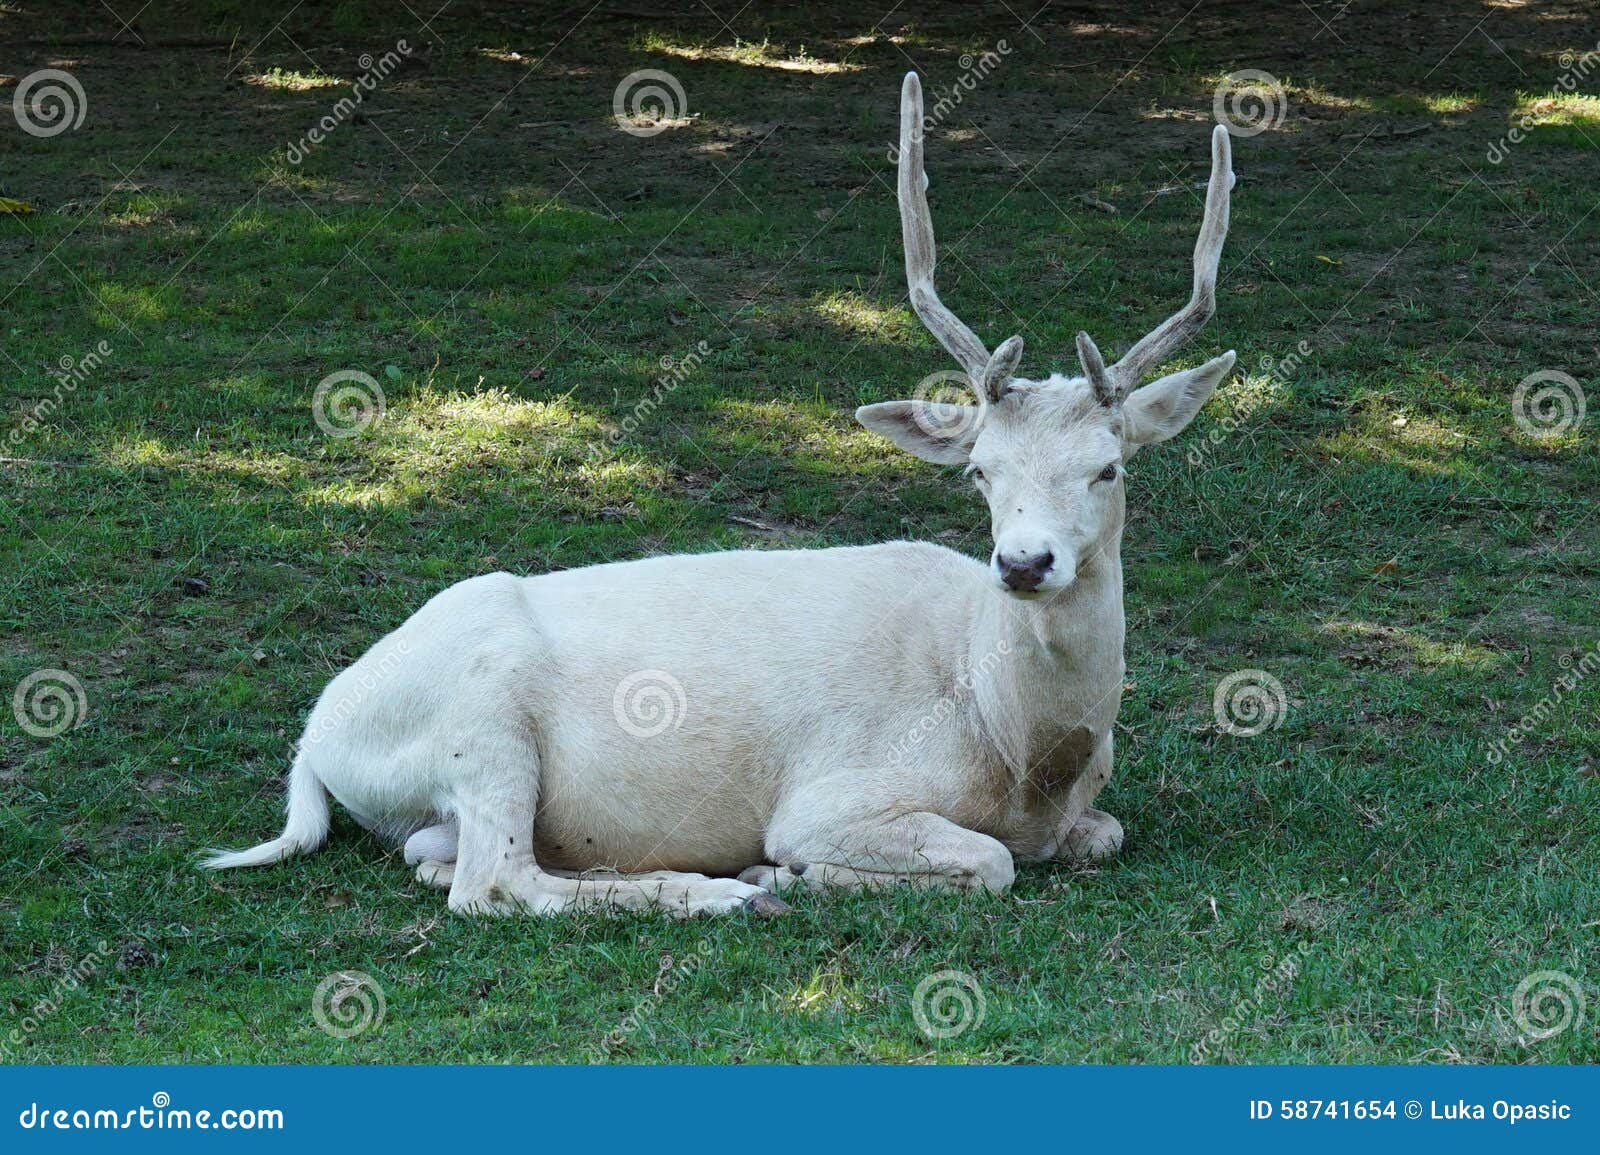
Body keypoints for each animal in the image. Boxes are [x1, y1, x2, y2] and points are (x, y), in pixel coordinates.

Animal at [202, 72, 1238, 918]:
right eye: (981, 468)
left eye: (1109, 466)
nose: (1024, 562)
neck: (1021, 753)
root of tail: (317, 736)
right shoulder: (833, 793)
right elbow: (991, 862)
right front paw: (792, 870)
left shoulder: (1084, 811)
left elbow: (1105, 835)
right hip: (483, 721)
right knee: (491, 883)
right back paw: (729, 890)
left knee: (437, 856)